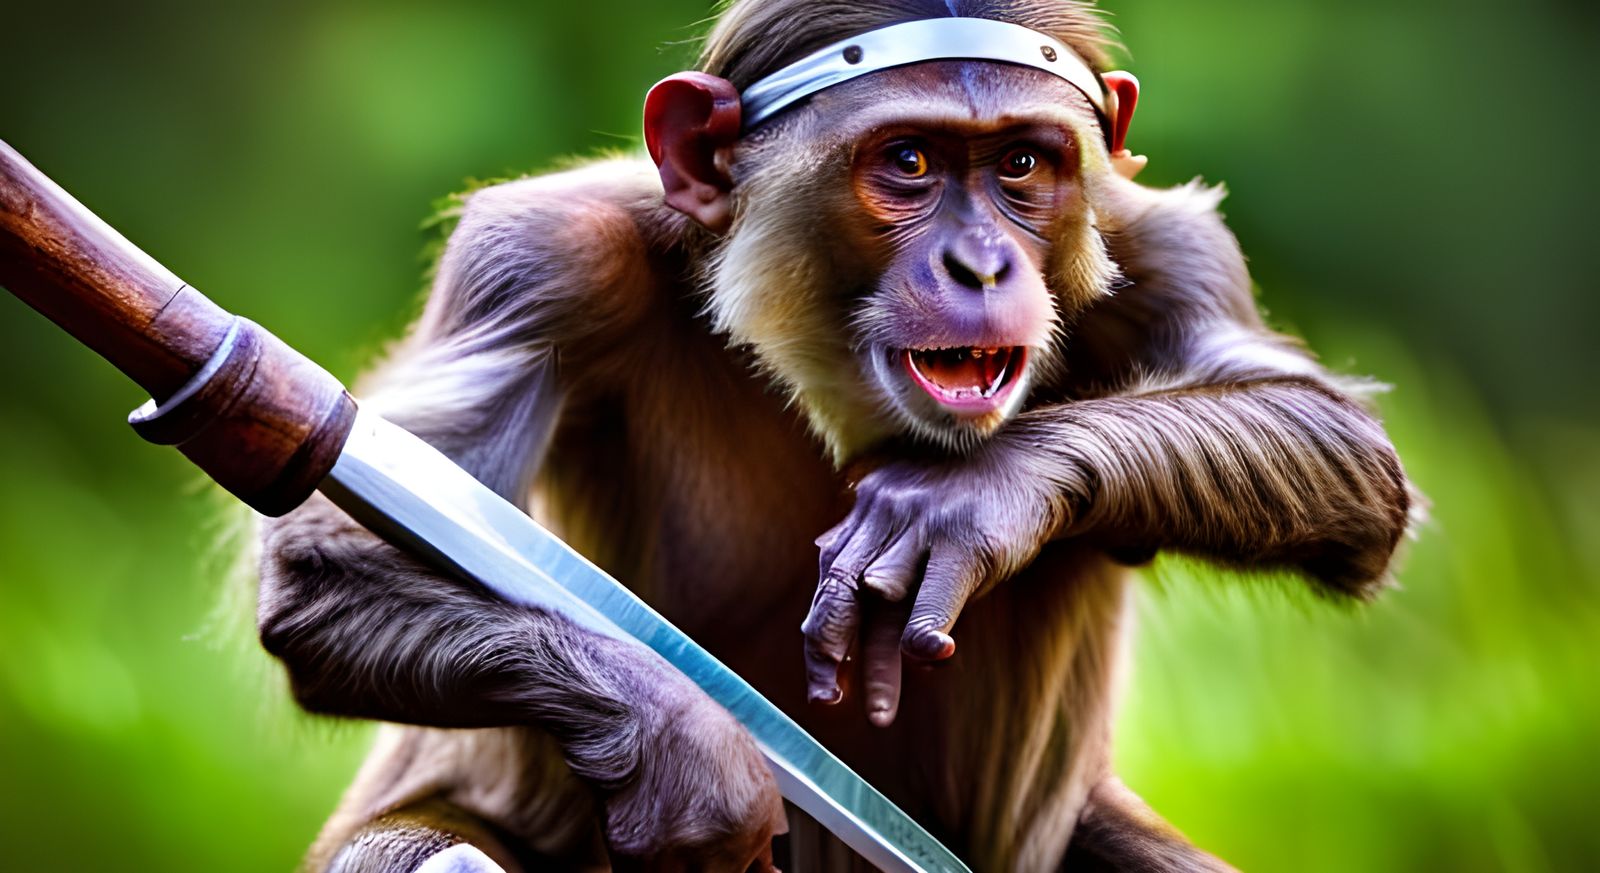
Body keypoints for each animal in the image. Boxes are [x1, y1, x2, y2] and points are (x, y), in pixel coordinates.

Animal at [253, 1, 1414, 871]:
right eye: (908, 160)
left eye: (1021, 166)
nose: (980, 264)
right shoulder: (537, 264)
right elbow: (337, 559)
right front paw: (678, 744)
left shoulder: (1168, 249)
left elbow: (1342, 448)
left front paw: (976, 497)